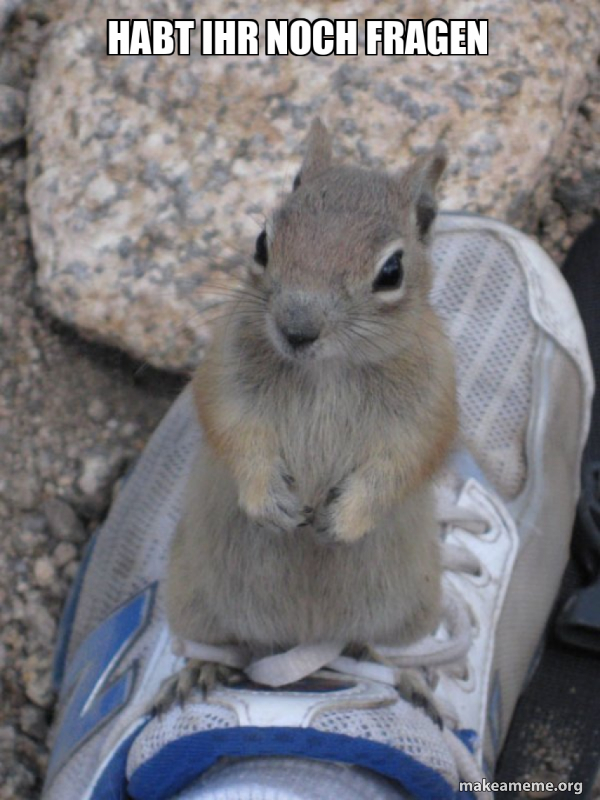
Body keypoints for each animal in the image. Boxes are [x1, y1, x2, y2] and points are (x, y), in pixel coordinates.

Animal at [163, 118, 457, 701]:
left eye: (392, 271)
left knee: (364, 644)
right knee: (228, 644)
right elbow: (236, 433)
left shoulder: (429, 406)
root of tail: (305, 635)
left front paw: (345, 519)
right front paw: (268, 500)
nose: (296, 329)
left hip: (414, 609)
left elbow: (401, 464)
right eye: (263, 241)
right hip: (189, 596)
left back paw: (400, 676)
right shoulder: (227, 377)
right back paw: (201, 670)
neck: (327, 370)